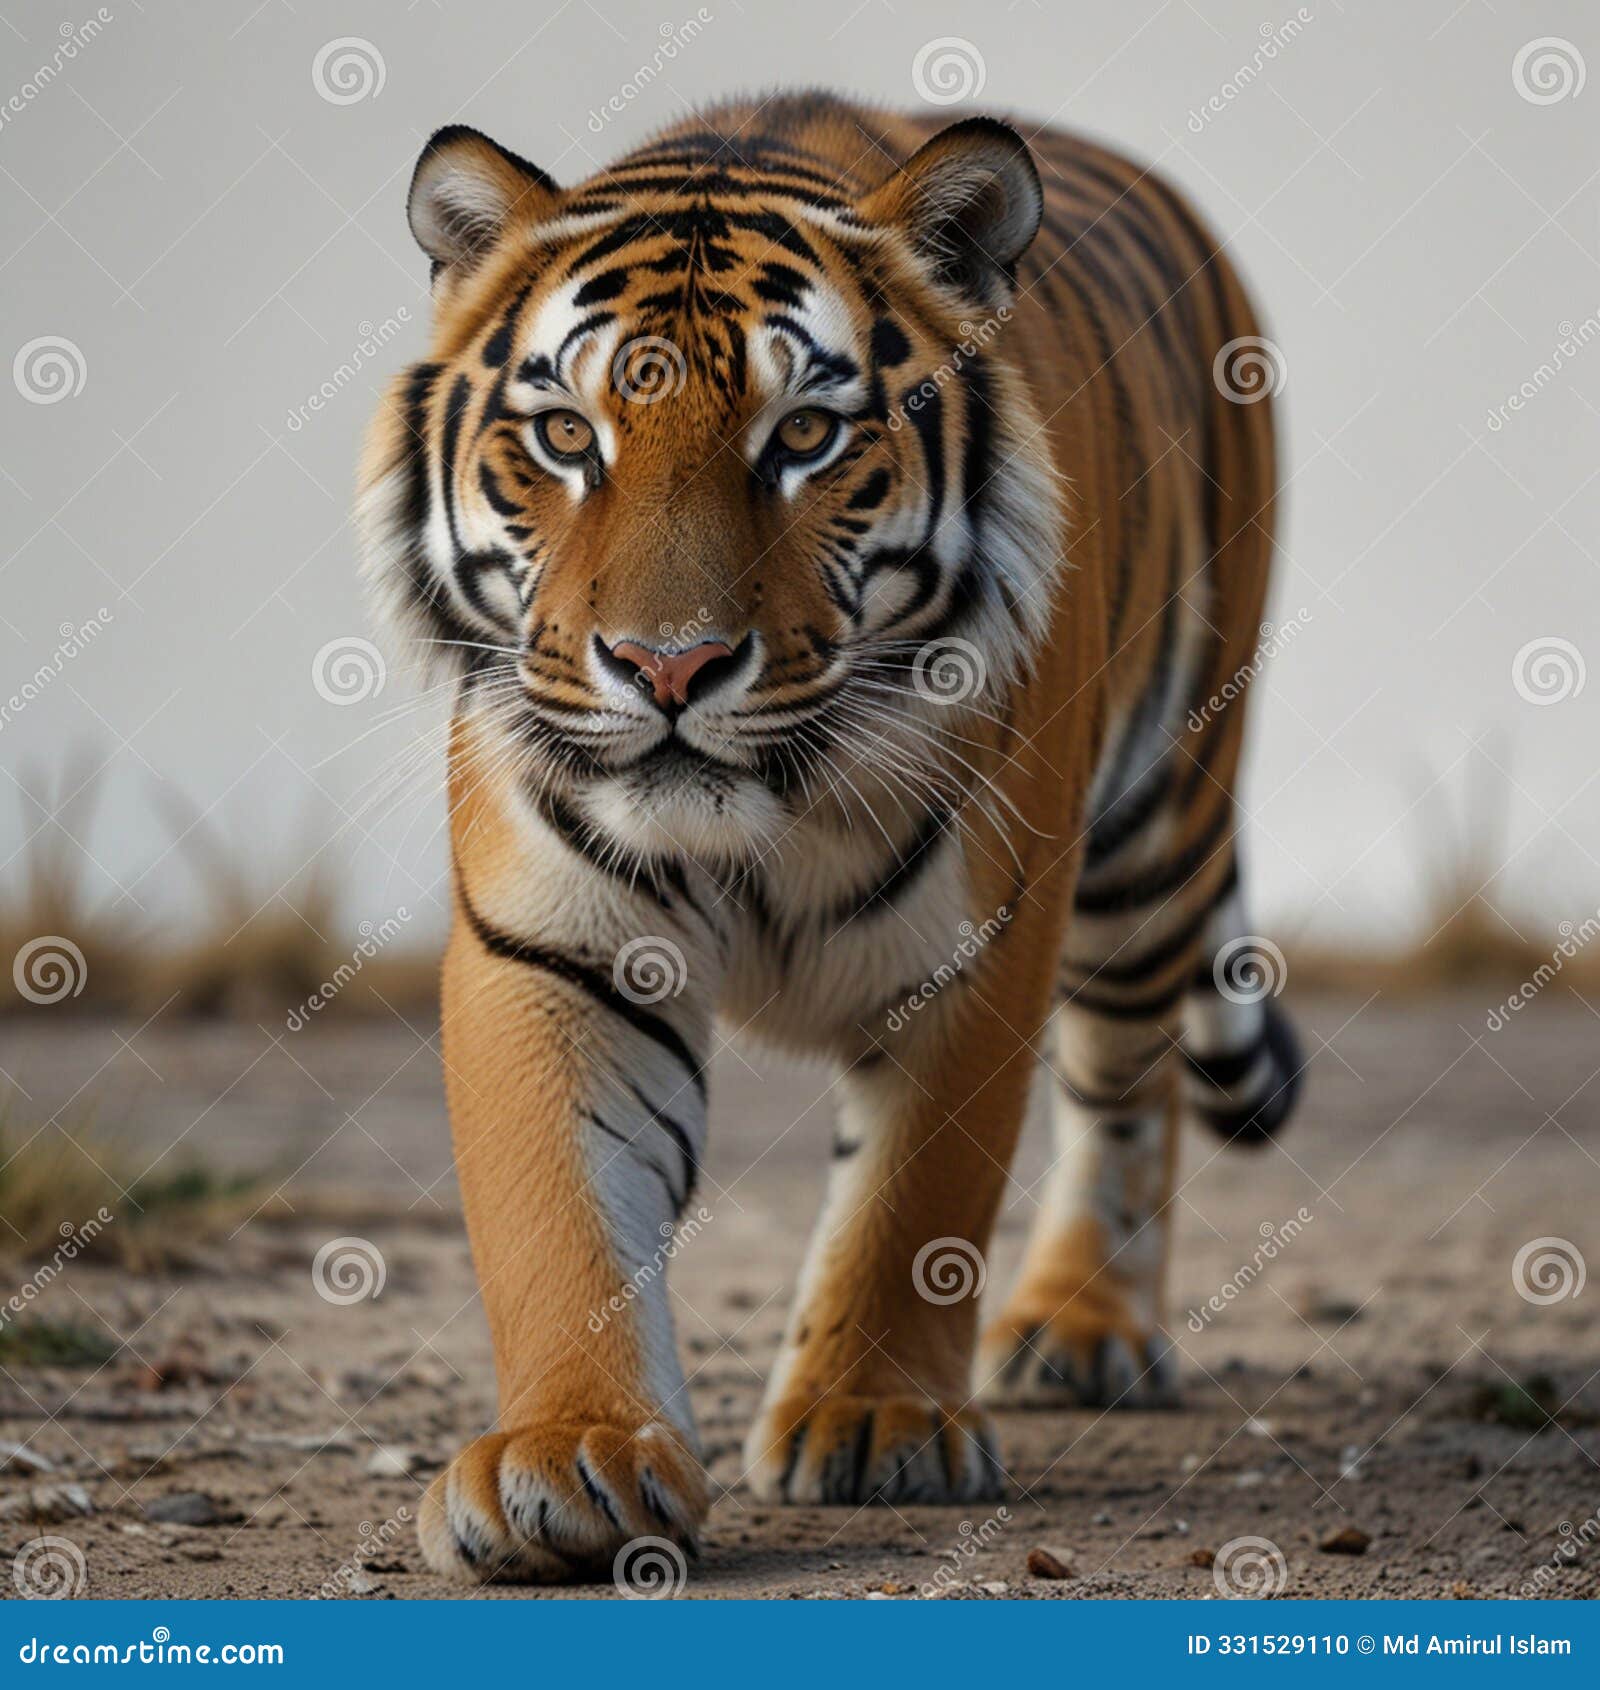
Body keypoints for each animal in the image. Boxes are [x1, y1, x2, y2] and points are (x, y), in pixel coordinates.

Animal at [356, 91, 1303, 1584]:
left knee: (1125, 1077)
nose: (668, 666)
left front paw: (872, 1420)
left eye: (803, 435)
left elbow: (917, 1200)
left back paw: (1083, 1326)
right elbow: (559, 1214)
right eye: (566, 435)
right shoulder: (555, 946)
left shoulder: (985, 935)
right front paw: (568, 1457)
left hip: (1155, 833)